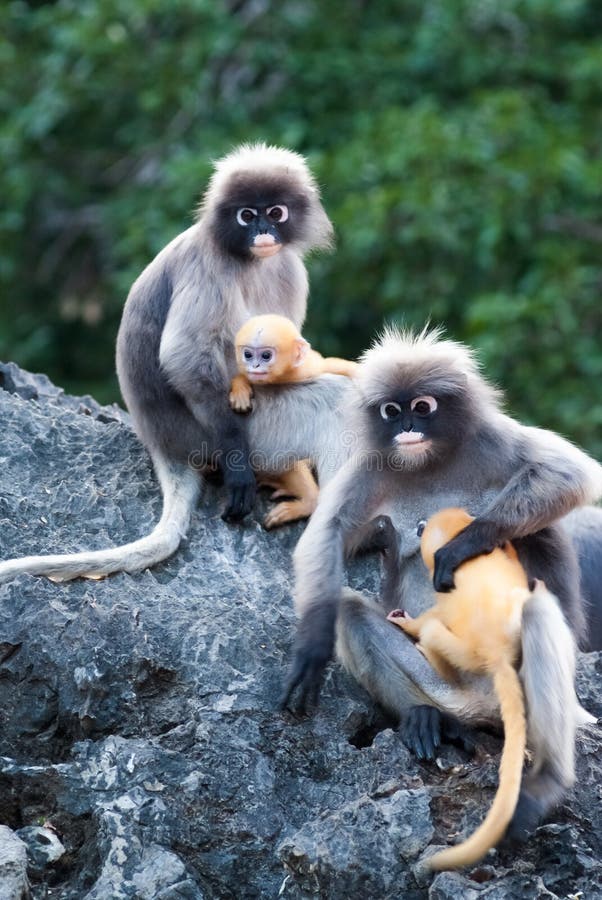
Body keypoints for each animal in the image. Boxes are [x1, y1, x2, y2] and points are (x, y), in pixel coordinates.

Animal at [0, 143, 334, 583]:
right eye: (247, 215)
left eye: (275, 212)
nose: (263, 231)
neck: (249, 258)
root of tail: (163, 441)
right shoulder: (208, 264)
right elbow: (184, 355)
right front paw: (239, 466)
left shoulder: (289, 268)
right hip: (212, 434)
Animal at [229, 313, 358, 529]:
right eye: (248, 355)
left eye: (266, 356)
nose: (254, 366)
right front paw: (240, 389)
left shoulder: (308, 367)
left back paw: (309, 502)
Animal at [387, 507, 592, 869]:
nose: (420, 525)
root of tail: (494, 652)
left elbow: (432, 605)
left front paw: (406, 621)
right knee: (533, 601)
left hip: (459, 649)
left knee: (433, 630)